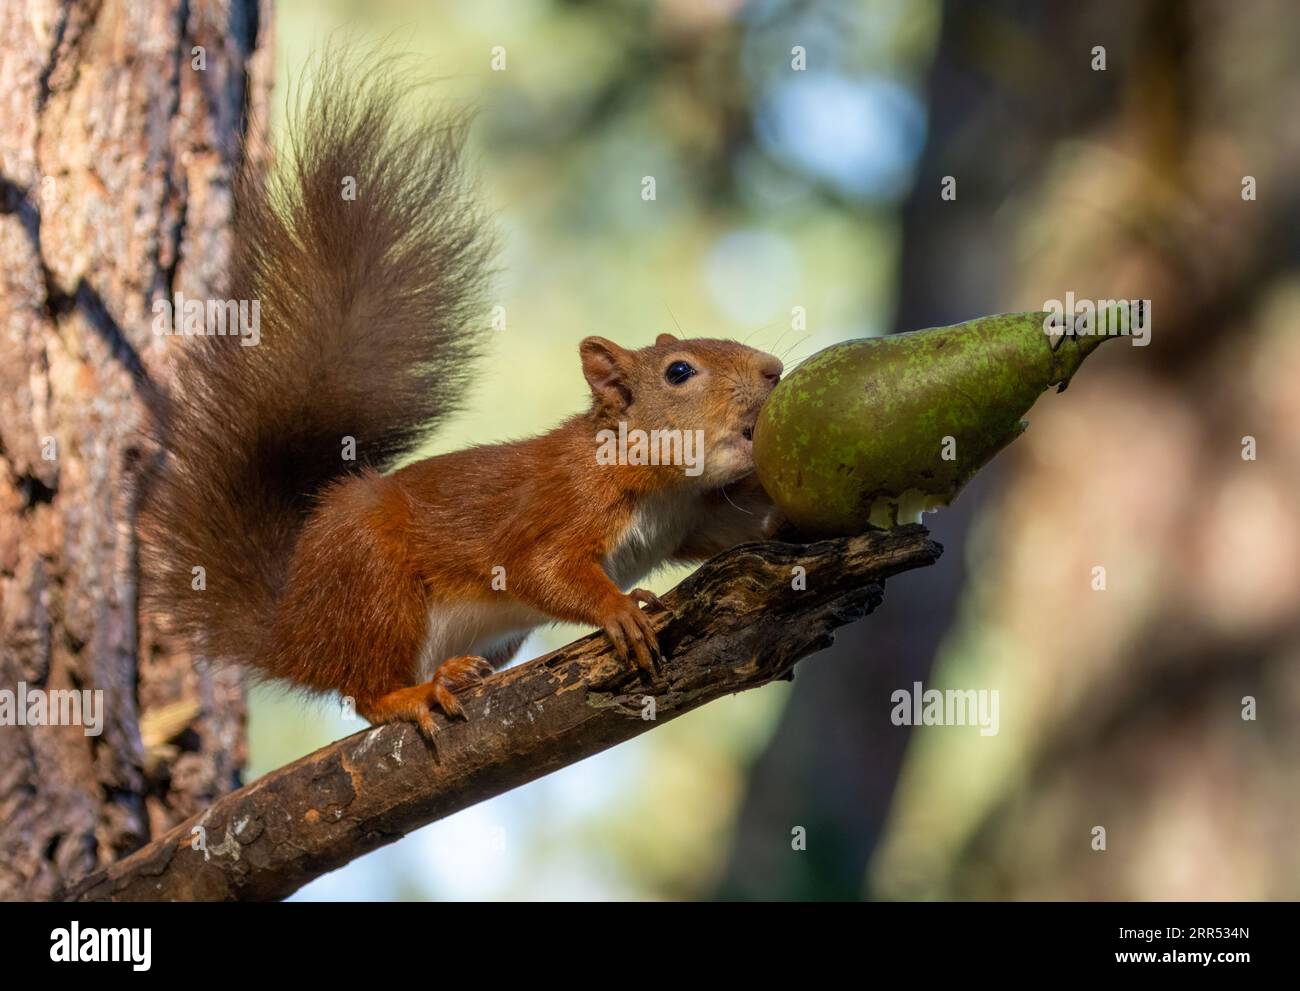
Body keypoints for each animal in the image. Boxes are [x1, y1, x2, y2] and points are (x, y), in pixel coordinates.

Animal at [140, 54, 784, 739]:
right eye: (679, 372)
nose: (773, 369)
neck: (654, 482)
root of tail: (292, 630)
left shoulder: (693, 518)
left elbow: (747, 527)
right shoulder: (565, 504)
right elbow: (541, 568)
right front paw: (618, 608)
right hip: (375, 583)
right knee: (364, 693)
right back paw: (413, 694)